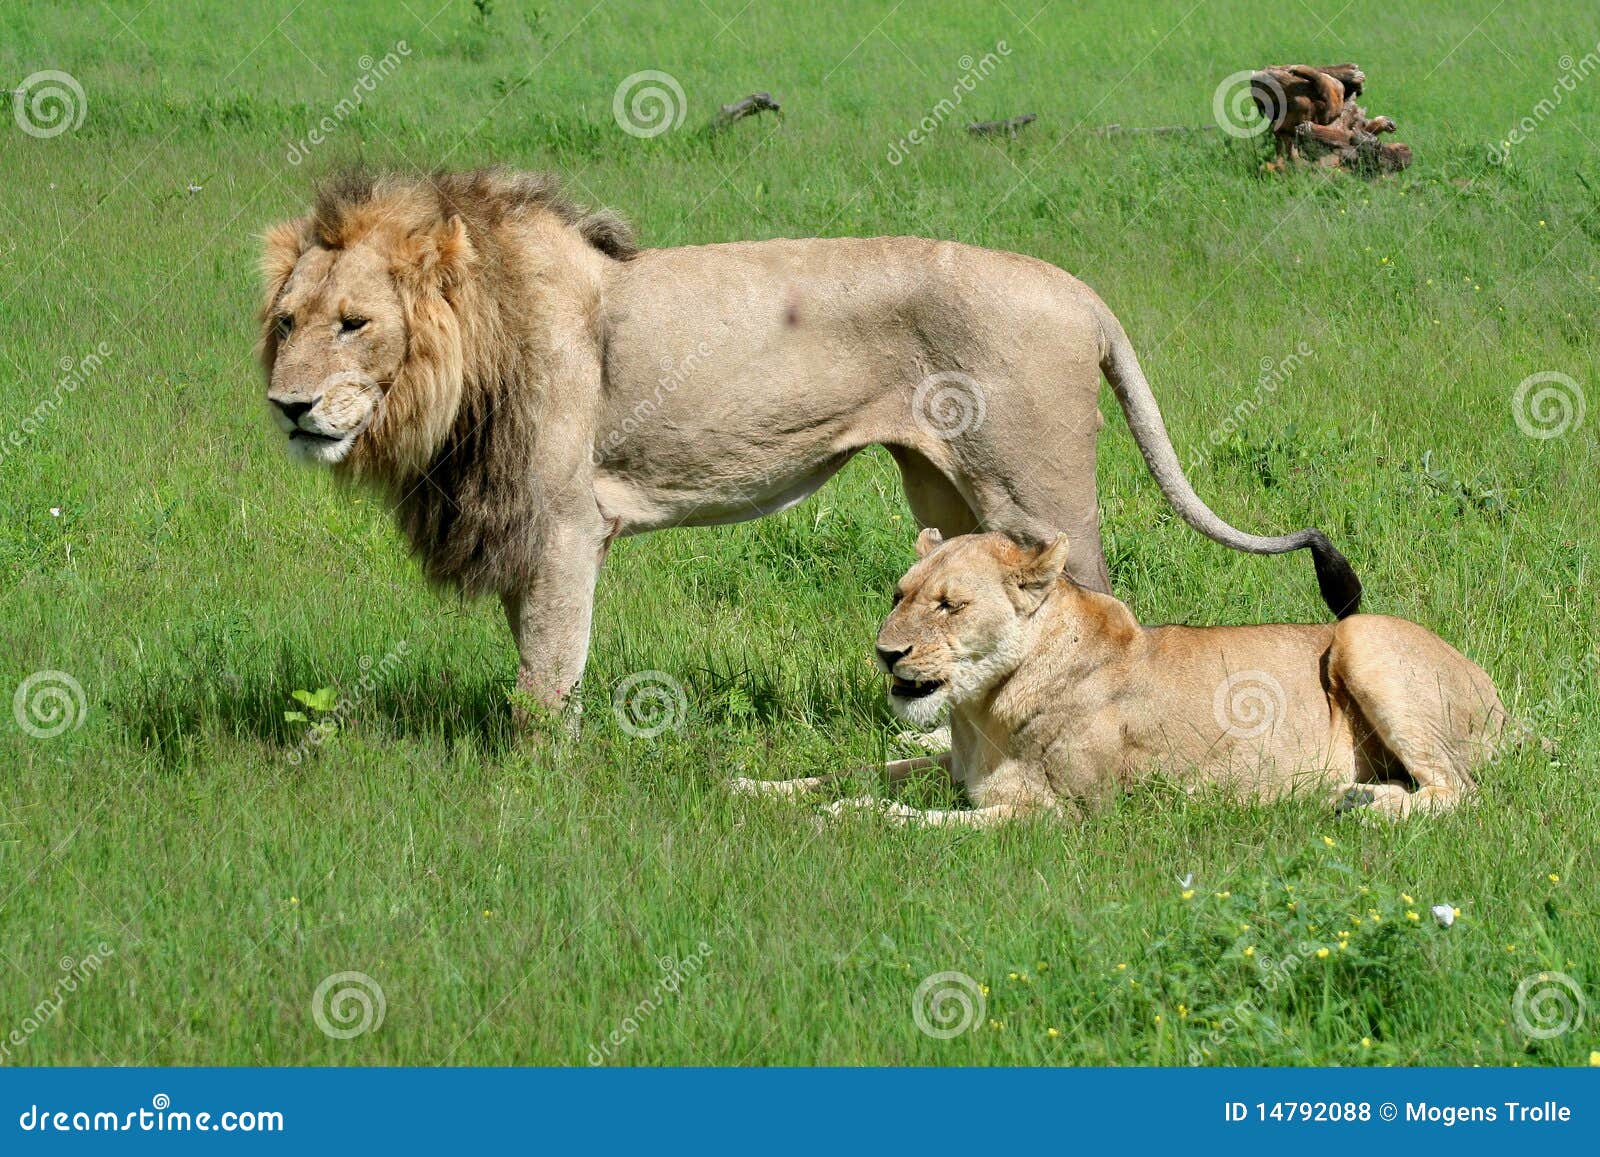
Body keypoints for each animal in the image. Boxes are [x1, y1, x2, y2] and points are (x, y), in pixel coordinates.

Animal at [260, 169, 1360, 712]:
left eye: (355, 323)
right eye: (285, 321)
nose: (287, 406)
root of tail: (1080, 291)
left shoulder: (566, 522)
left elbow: (547, 676)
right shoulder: (519, 526)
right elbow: (534, 655)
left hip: (1035, 490)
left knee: (1092, 603)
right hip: (949, 490)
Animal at [734, 530, 1504, 827]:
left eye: (950, 604)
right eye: (901, 593)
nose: (886, 653)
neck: (979, 711)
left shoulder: (1060, 813)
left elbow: (914, 817)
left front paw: (845, 816)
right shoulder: (956, 766)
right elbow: (865, 767)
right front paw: (750, 786)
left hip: (1360, 636)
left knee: (1460, 789)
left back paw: (1360, 804)